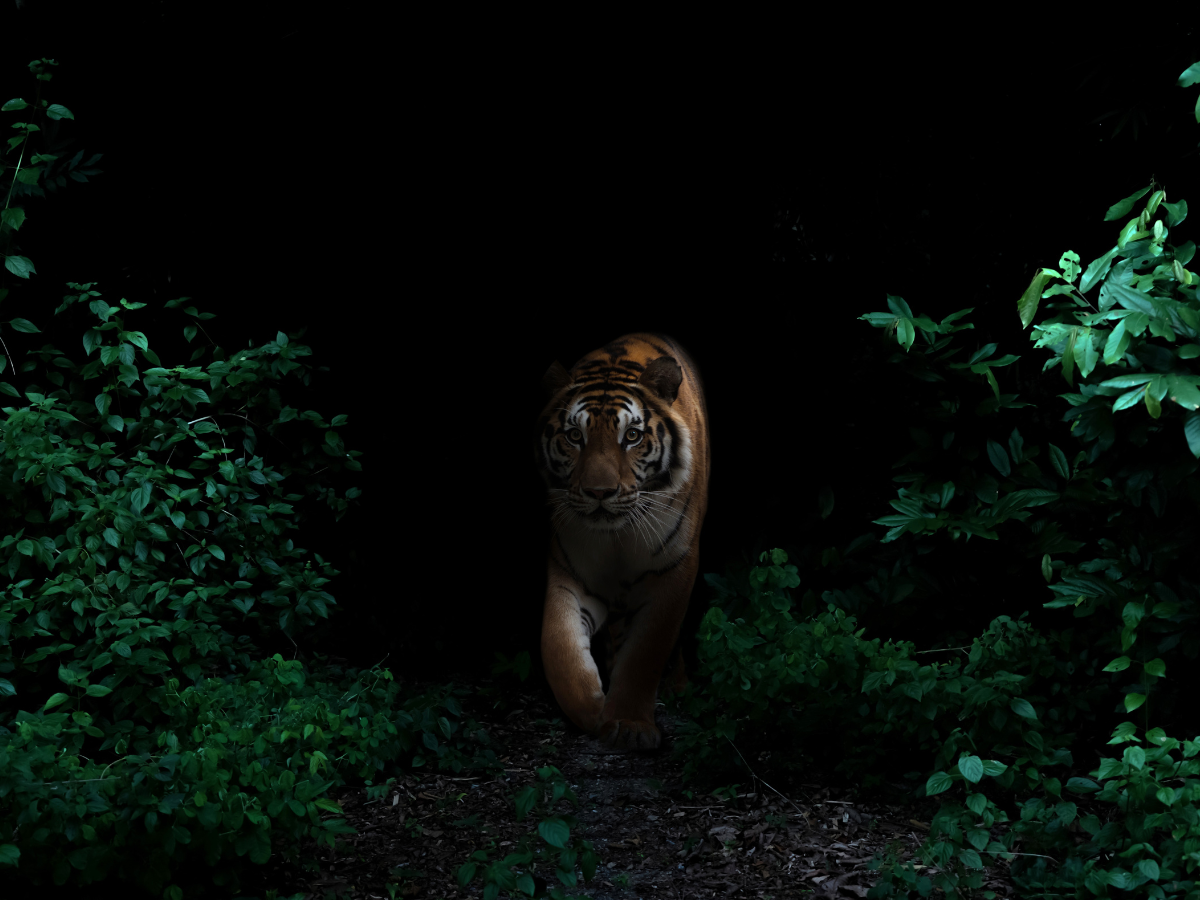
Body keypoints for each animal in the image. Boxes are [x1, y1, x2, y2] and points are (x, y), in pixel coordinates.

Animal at [534, 333, 710, 750]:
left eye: (631, 436)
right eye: (575, 436)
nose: (600, 492)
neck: (617, 538)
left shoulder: (673, 572)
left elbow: (645, 652)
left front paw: (629, 725)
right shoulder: (569, 573)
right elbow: (559, 649)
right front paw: (594, 711)